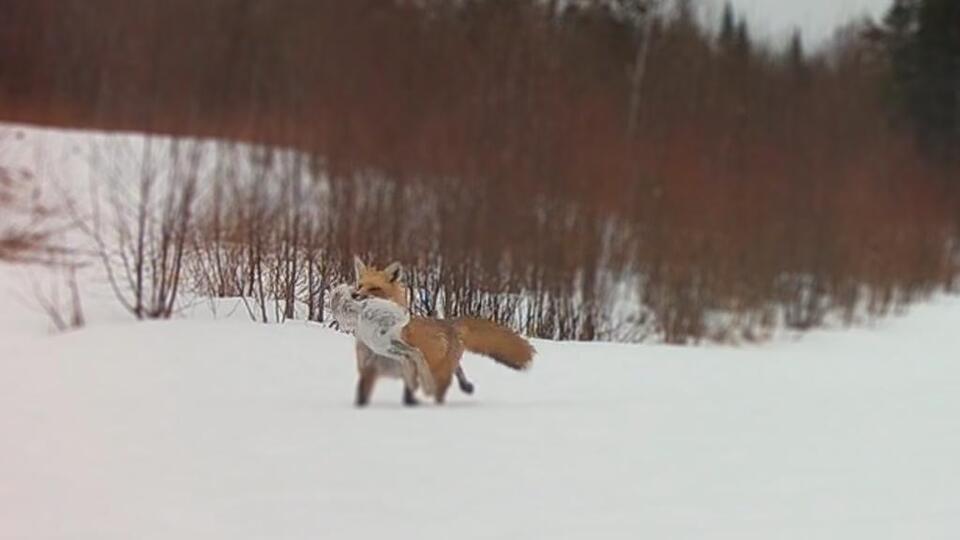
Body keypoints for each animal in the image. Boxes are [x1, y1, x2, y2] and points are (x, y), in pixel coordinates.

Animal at [350, 256, 535, 406]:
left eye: (375, 288)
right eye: (360, 285)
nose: (354, 295)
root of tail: (450, 322)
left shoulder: (409, 374)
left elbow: (410, 398)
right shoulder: (367, 372)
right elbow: (361, 400)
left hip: (439, 377)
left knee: (441, 393)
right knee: (457, 372)